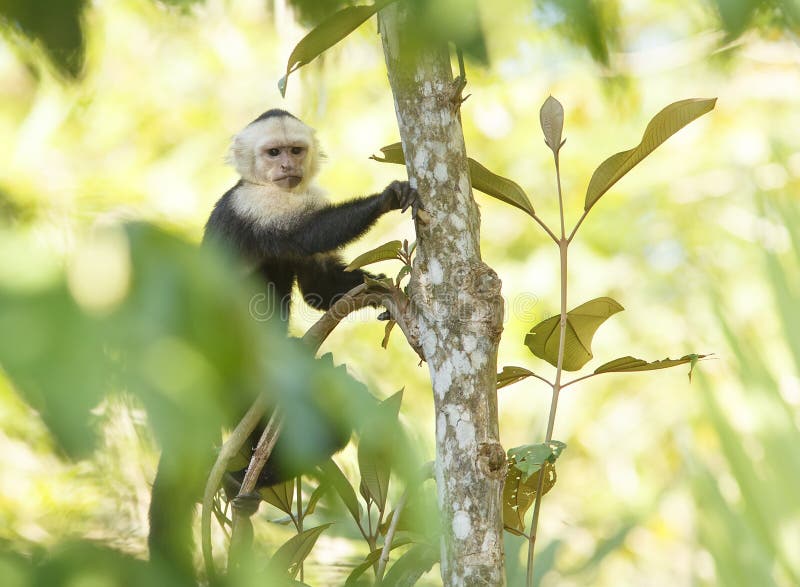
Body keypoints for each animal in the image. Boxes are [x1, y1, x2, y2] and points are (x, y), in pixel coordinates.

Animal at [148, 109, 418, 578]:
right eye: (272, 152)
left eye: (296, 150)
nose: (288, 166)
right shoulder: (252, 204)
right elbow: (302, 235)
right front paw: (385, 198)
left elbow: (317, 287)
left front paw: (380, 289)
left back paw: (249, 480)